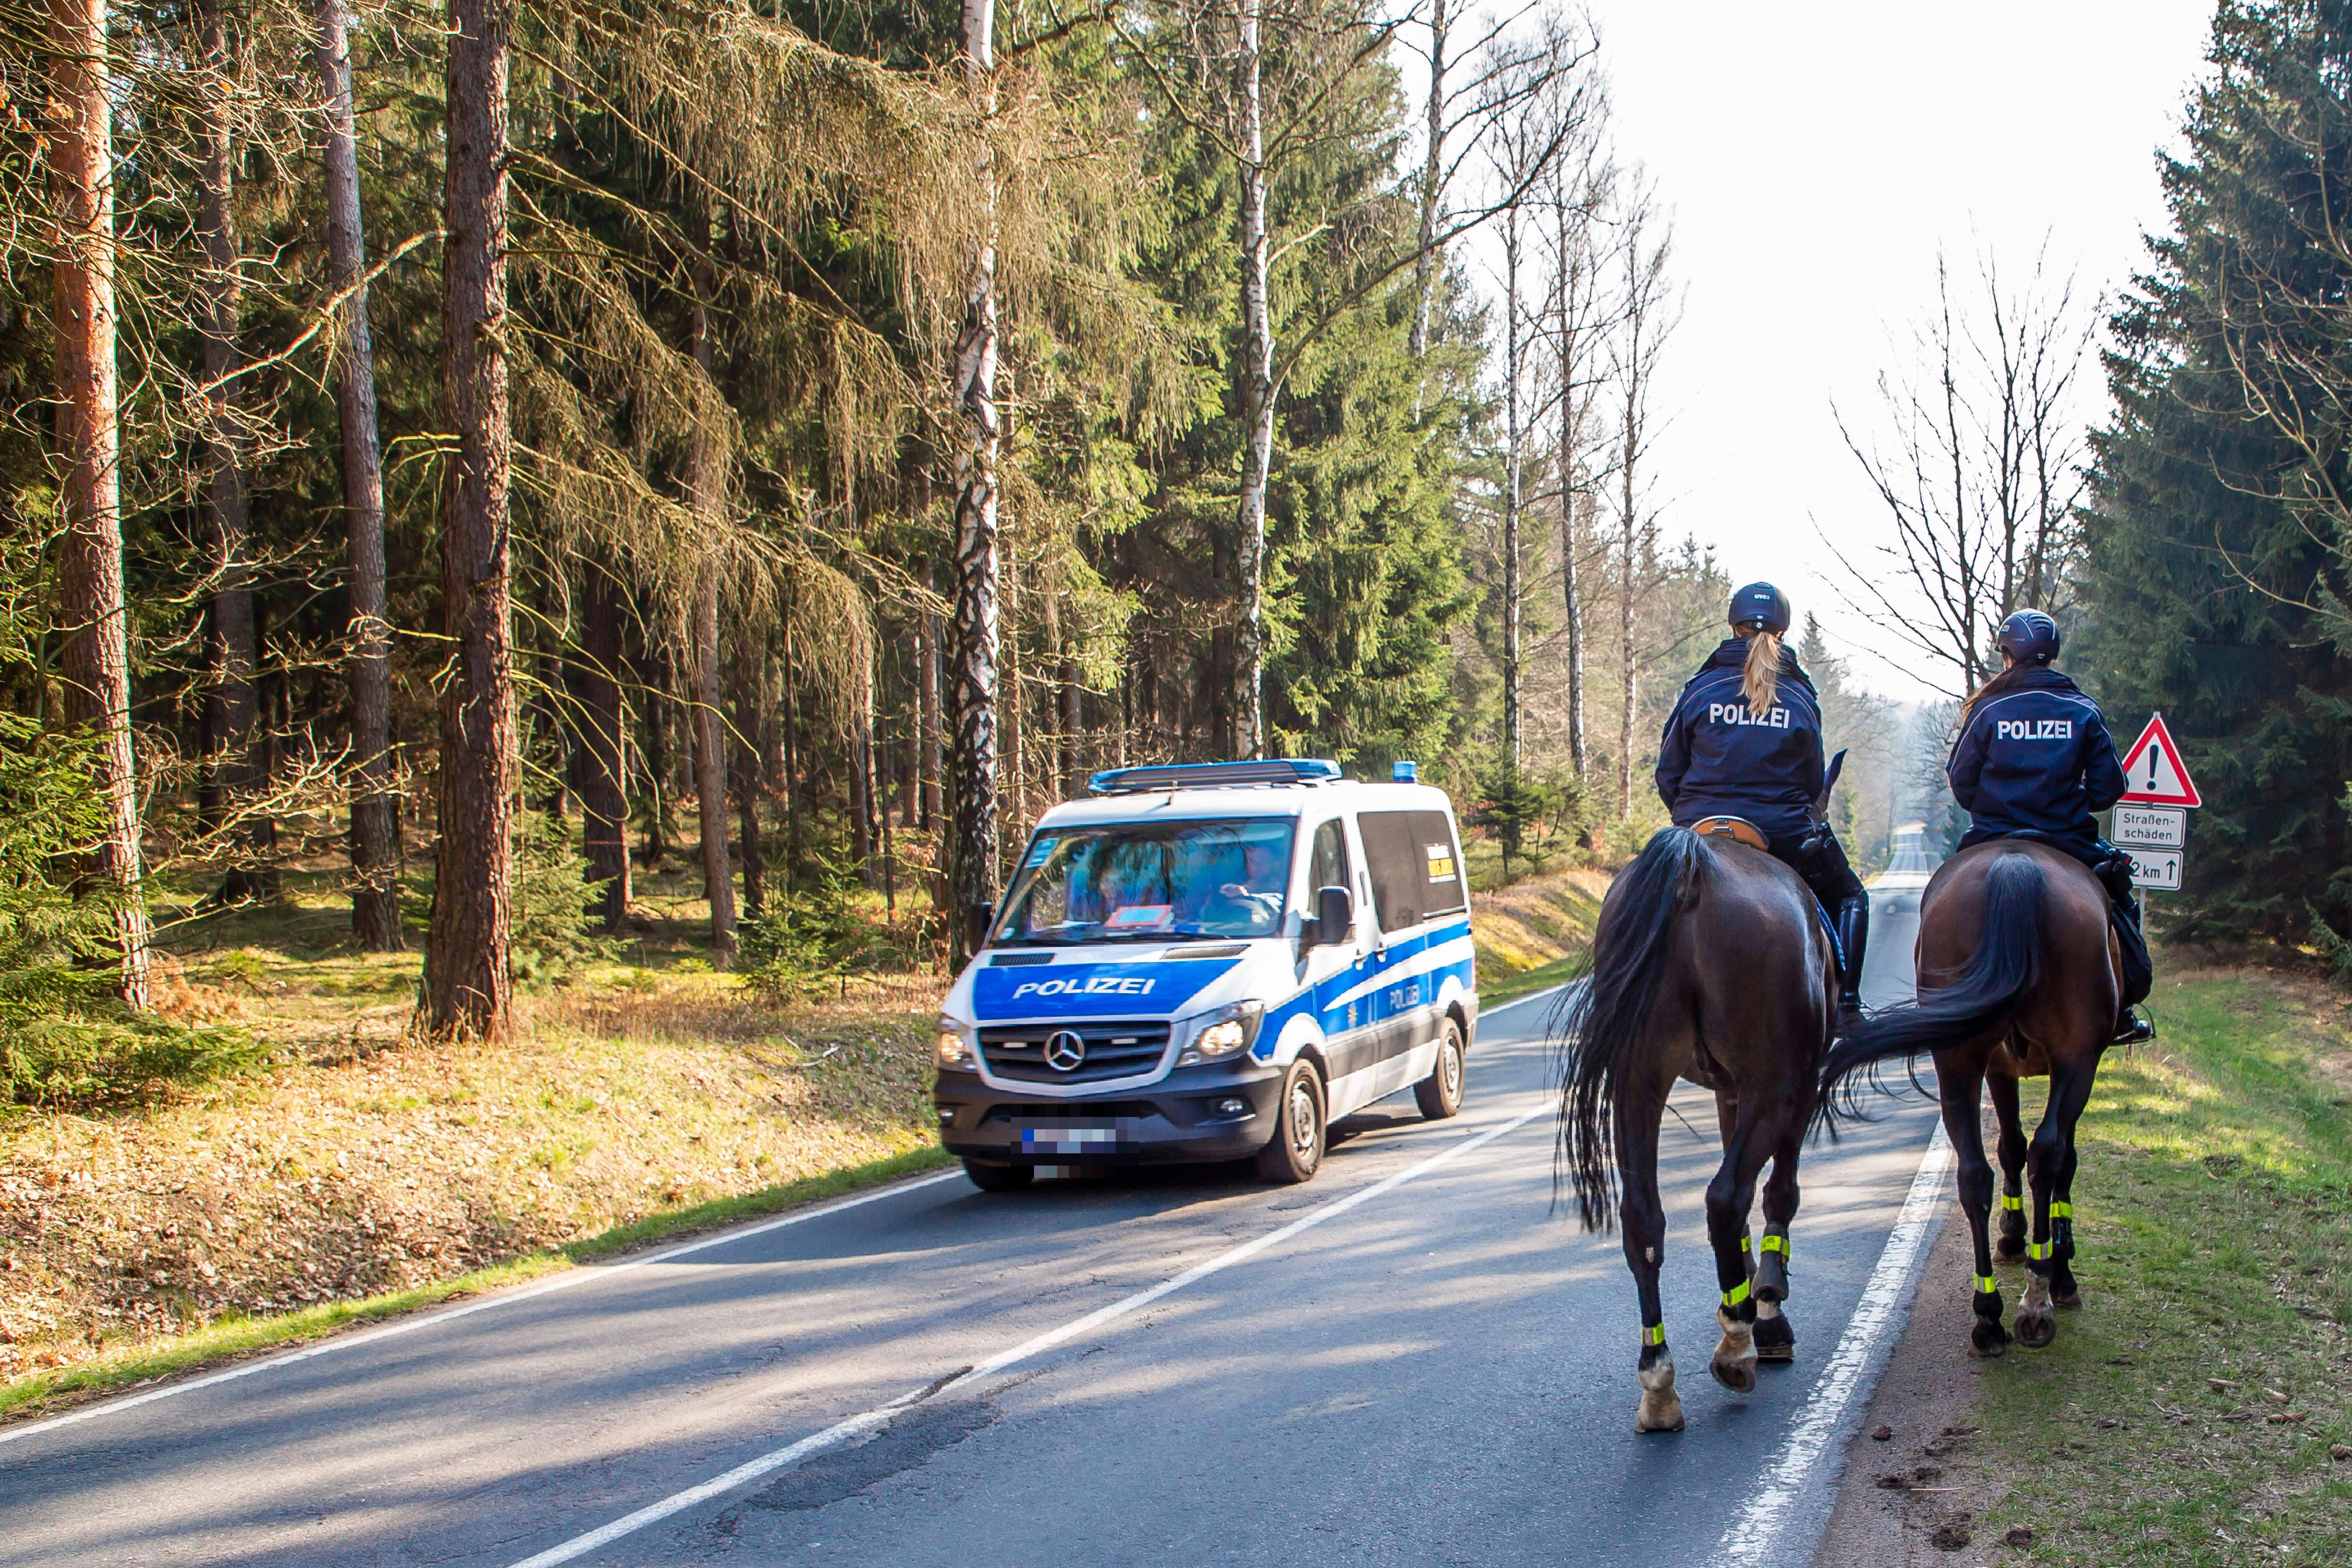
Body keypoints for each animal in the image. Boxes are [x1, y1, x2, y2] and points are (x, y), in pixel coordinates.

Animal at [1556, 820, 1839, 1433]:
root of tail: (1695, 865)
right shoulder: (1795, 1087)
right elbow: (1779, 1193)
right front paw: (1767, 1303)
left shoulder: (1730, 1092)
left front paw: (1747, 1284)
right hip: (1773, 1086)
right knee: (1725, 1197)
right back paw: (1737, 1342)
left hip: (1637, 1084)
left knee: (1643, 1221)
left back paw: (1660, 1383)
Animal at [1817, 839, 2118, 1355]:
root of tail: (2015, 870)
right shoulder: (2071, 1066)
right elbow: (2053, 1156)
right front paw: (2054, 1265)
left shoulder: (2000, 1067)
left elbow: (2010, 1147)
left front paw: (2018, 1241)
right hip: (2075, 1057)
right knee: (2050, 1154)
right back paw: (2037, 1297)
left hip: (1959, 1059)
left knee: (1975, 1174)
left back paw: (1989, 1314)